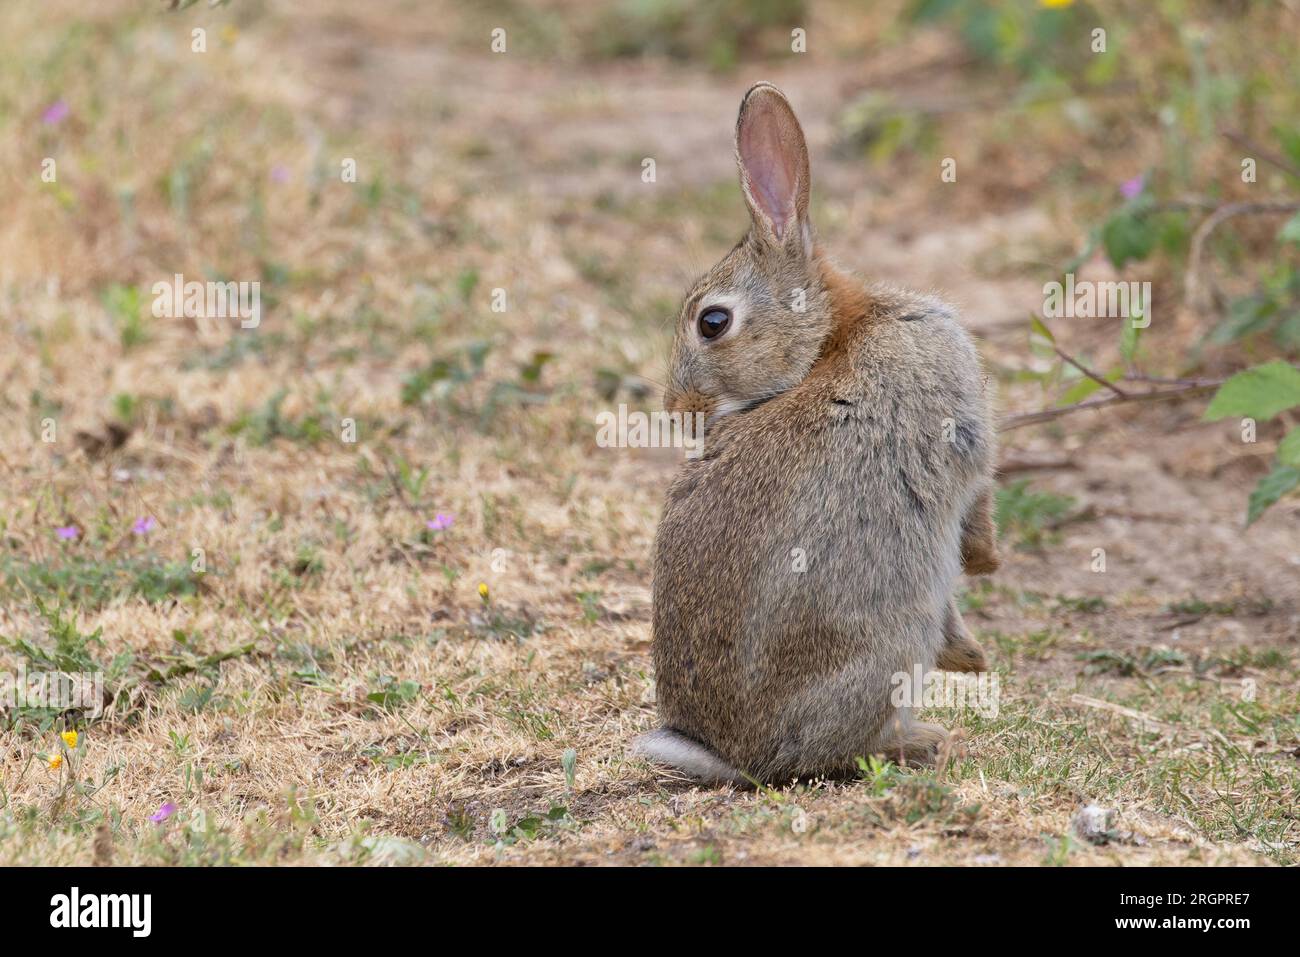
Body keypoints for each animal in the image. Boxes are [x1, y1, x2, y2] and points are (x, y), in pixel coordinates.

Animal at [634, 82, 1000, 786]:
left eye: (712, 323)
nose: (678, 410)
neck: (832, 336)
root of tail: (740, 757)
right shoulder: (966, 454)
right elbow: (975, 514)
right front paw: (981, 604)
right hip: (891, 638)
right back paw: (928, 741)